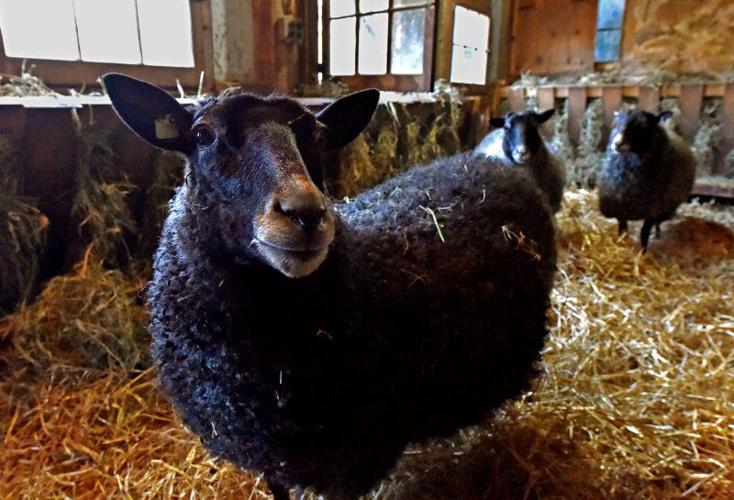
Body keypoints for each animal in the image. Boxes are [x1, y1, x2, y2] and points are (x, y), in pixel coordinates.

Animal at [103, 73, 558, 500]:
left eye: (319, 138)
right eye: (201, 136)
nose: (305, 213)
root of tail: (495, 166)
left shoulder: (353, 458)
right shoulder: (267, 452)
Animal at [598, 109, 696, 250]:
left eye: (642, 125)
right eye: (616, 123)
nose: (617, 143)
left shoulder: (652, 211)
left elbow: (644, 233)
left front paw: (642, 252)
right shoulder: (620, 208)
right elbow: (622, 230)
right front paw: (622, 244)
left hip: (666, 208)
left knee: (658, 223)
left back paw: (658, 234)